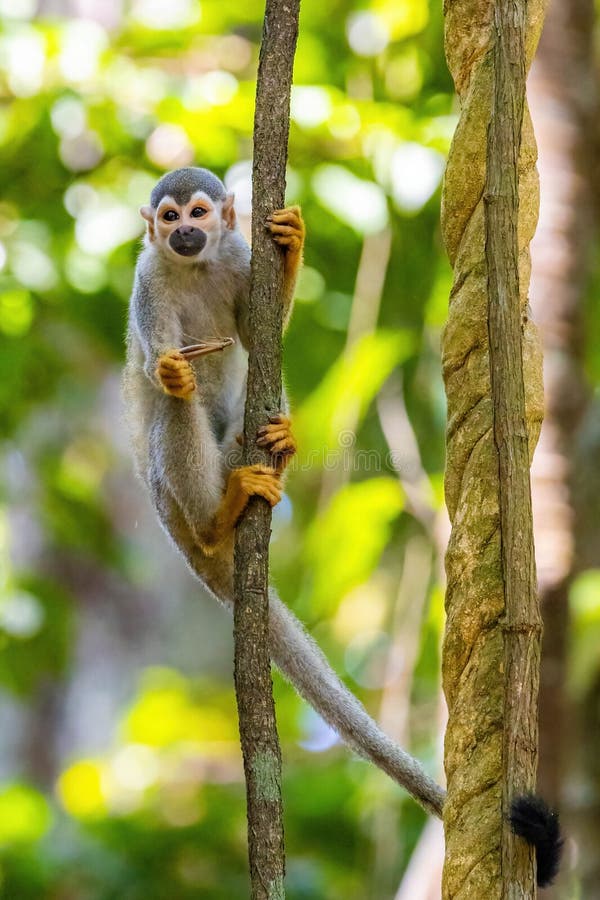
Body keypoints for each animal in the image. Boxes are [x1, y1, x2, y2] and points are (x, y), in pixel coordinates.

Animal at [122, 167, 563, 879]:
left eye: (198, 213)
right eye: (167, 218)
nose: (184, 233)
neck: (191, 268)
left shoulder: (236, 255)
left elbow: (257, 336)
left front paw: (293, 244)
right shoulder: (146, 281)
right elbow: (160, 371)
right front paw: (166, 367)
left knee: (250, 402)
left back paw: (273, 454)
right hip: (167, 501)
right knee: (175, 408)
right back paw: (217, 519)